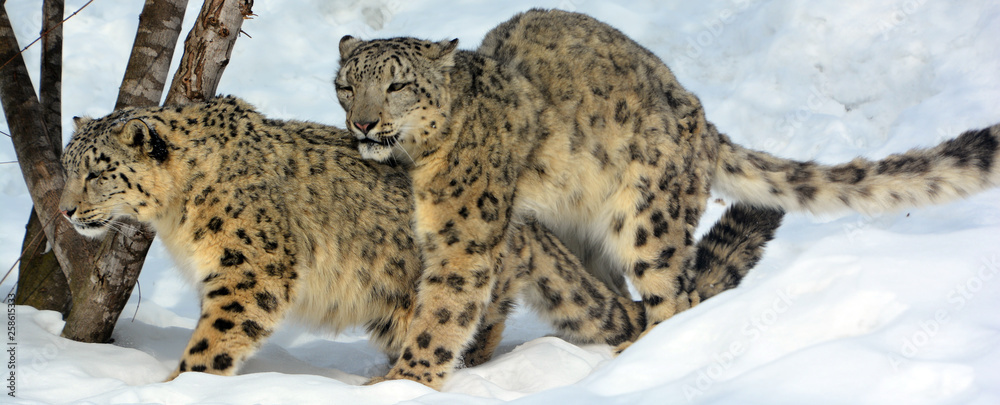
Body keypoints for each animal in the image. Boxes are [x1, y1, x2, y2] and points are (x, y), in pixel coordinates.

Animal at [58, 96, 784, 387]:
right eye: (66, 166)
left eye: (98, 170)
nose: (63, 209)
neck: (178, 217)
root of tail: (528, 219)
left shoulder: (250, 270)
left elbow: (216, 338)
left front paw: (180, 384)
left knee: (473, 325)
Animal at [333, 8, 1000, 386]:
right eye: (346, 85)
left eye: (397, 85)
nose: (364, 123)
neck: (415, 163)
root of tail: (701, 122)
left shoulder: (464, 238)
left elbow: (443, 310)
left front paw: (406, 381)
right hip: (583, 230)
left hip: (649, 219)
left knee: (672, 297)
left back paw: (643, 364)